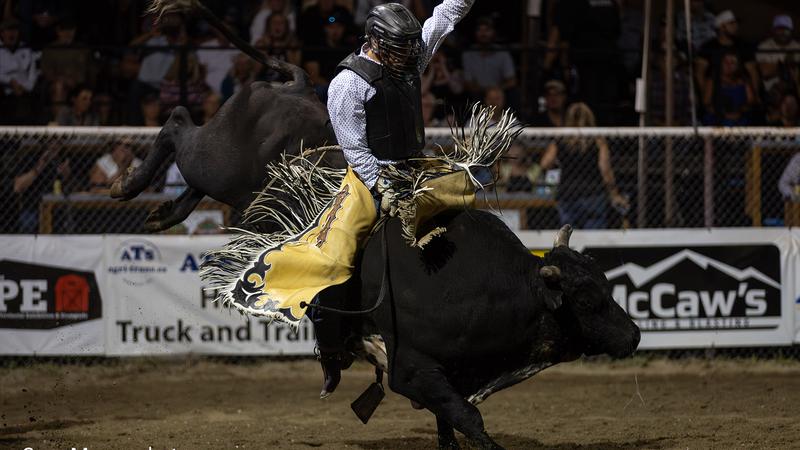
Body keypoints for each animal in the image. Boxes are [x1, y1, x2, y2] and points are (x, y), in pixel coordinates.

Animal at [110, 0, 341, 231]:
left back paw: (162, 214)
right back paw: (129, 185)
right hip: (216, 162)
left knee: (193, 188)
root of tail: (300, 87)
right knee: (177, 121)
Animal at [332, 212, 640, 450]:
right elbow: (468, 416)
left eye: (605, 282)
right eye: (586, 300)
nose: (634, 335)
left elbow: (447, 422)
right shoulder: (411, 370)